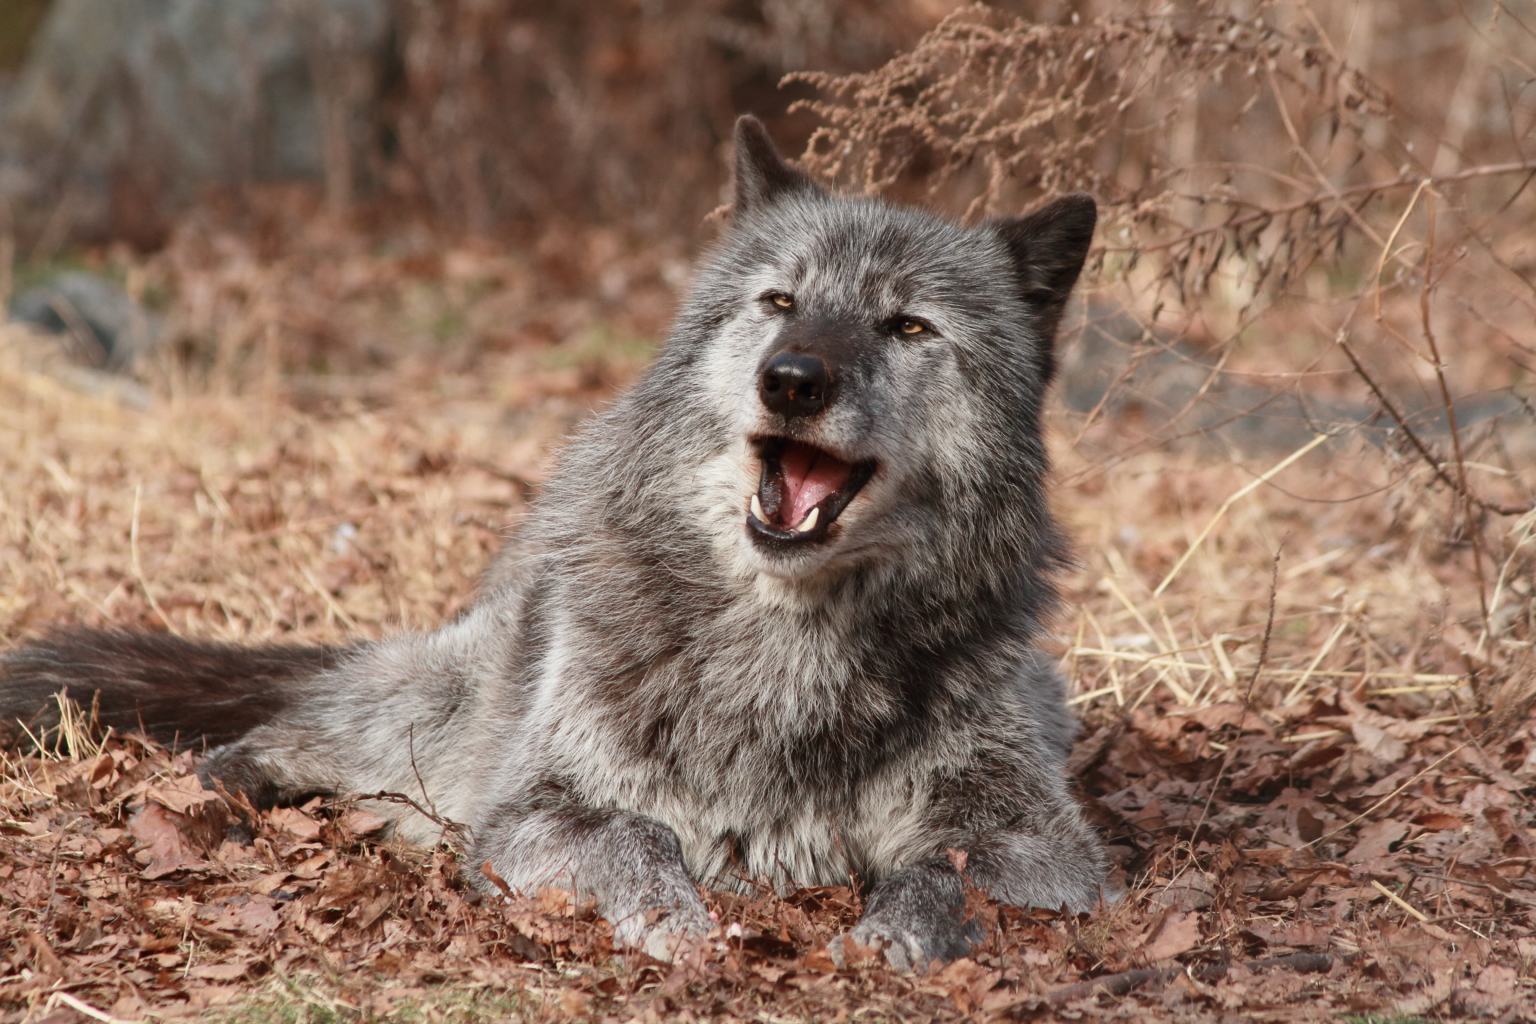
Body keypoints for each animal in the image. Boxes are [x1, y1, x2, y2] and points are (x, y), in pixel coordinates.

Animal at [1, 116, 1106, 969]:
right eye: (781, 301)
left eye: (910, 326)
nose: (792, 379)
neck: (782, 647)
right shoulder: (540, 805)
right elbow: (631, 837)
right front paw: (677, 924)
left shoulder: (1041, 845)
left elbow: (946, 875)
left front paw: (886, 941)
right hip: (427, 710)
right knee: (285, 732)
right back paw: (212, 802)